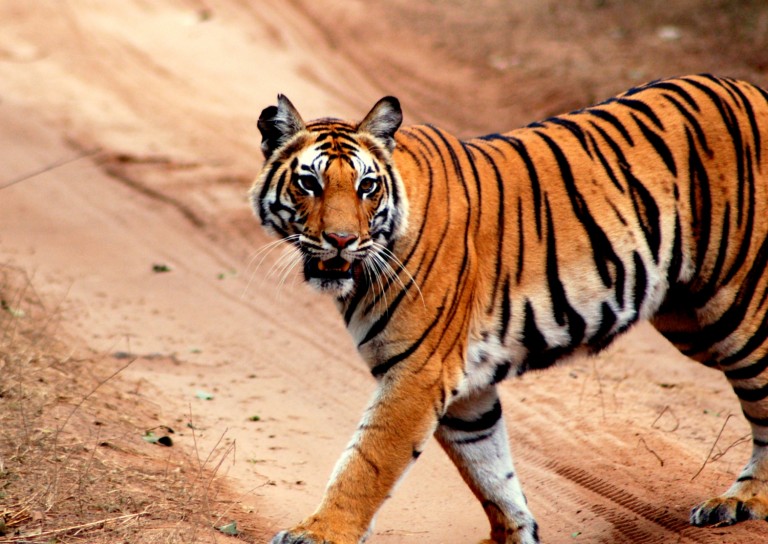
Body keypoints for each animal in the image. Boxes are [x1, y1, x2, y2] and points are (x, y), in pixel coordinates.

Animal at [250, 74, 768, 544]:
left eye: (366, 187)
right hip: (687, 316)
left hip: (738, 310)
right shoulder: (464, 390)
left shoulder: (417, 373)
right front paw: (516, 533)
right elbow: (490, 470)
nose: (341, 240)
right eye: (309, 183)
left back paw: (740, 501)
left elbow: (367, 461)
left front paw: (319, 532)